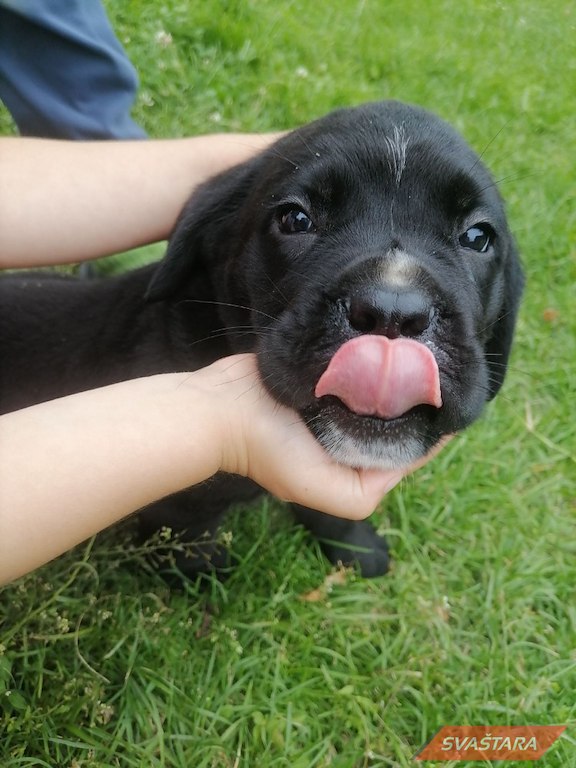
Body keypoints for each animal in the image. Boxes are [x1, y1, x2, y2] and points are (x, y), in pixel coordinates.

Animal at [0, 102, 520, 576]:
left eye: (477, 237)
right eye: (295, 220)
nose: (393, 311)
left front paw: (354, 545)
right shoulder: (177, 506)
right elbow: (182, 540)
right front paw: (202, 575)